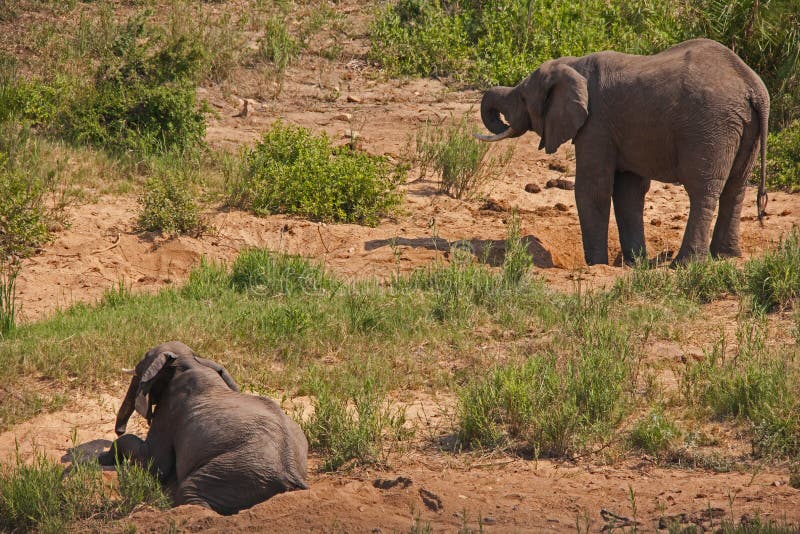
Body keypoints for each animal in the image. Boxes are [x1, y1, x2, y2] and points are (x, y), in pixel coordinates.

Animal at [99, 341, 308, 515]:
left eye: (140, 371)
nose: (119, 429)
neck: (191, 361)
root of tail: (292, 475)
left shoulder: (170, 411)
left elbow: (155, 463)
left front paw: (102, 459)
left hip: (238, 471)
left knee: (190, 491)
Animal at [476, 38, 769, 266]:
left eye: (523, 98)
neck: (573, 64)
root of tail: (753, 87)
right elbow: (628, 191)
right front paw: (633, 263)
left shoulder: (596, 125)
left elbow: (593, 188)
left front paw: (597, 264)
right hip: (742, 127)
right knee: (736, 187)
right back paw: (726, 257)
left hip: (710, 127)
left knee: (703, 190)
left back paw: (684, 264)